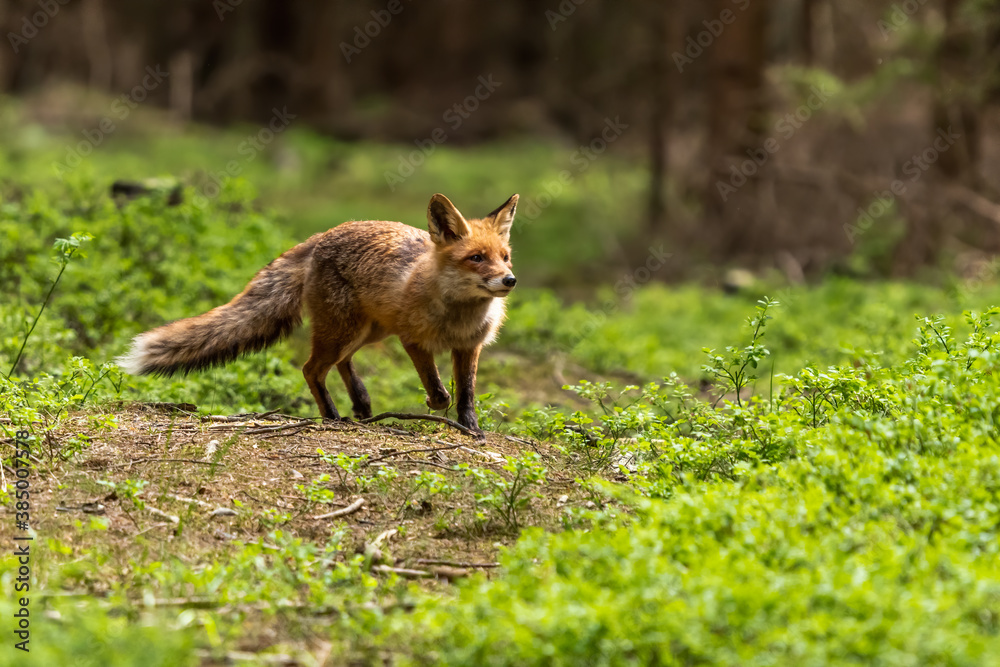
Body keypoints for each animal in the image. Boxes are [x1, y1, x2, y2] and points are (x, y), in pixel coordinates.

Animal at [118, 193, 520, 438]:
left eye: (505, 257)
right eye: (476, 258)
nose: (510, 281)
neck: (458, 316)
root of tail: (324, 234)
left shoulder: (469, 346)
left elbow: (466, 393)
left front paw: (471, 428)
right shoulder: (413, 341)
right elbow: (439, 392)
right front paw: (433, 405)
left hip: (365, 331)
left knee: (340, 363)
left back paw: (361, 403)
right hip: (345, 331)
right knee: (312, 369)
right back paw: (333, 415)